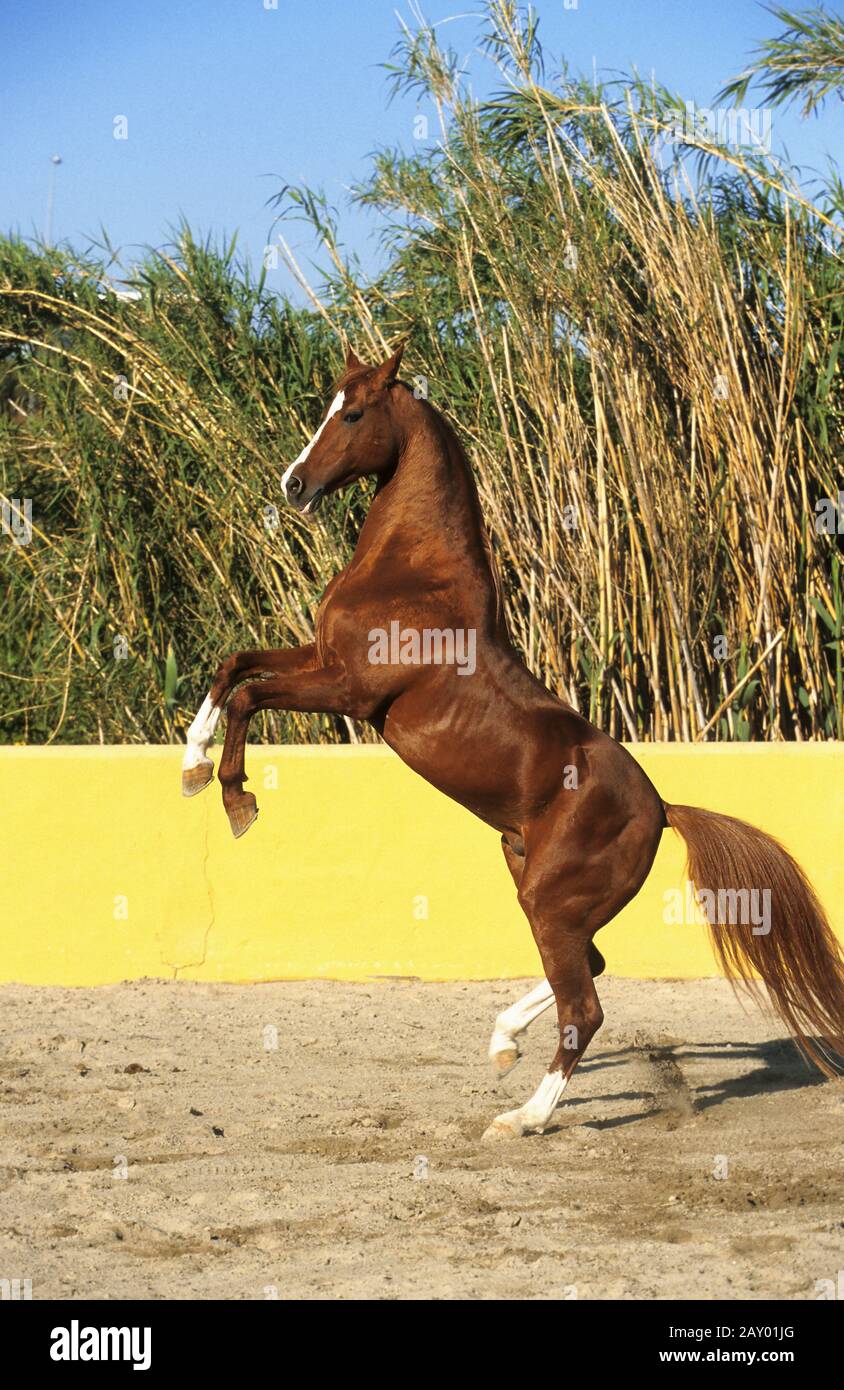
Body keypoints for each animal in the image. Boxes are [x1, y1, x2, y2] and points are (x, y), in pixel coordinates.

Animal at [182, 342, 844, 1139]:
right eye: (329, 404)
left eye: (355, 413)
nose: (295, 483)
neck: (413, 574)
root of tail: (662, 810)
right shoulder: (320, 659)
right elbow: (233, 667)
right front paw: (190, 765)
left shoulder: (349, 688)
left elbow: (250, 694)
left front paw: (236, 801)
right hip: (533, 878)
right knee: (589, 969)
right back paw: (502, 1044)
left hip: (551, 900)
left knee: (586, 1006)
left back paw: (523, 1116)